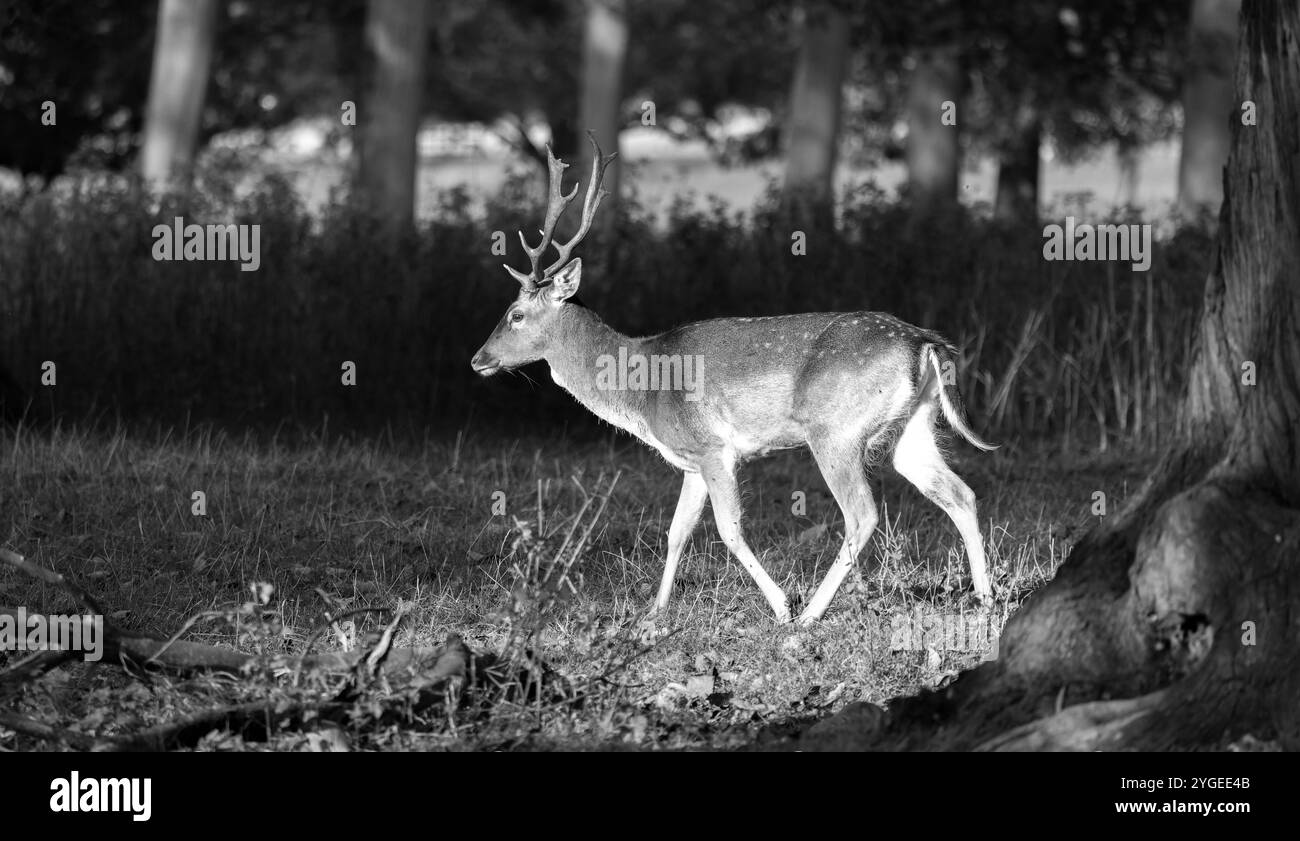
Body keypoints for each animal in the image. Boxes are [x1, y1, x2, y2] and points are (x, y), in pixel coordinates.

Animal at [471, 133, 996, 626]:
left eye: (515, 314)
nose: (478, 360)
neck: (641, 389)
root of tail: (925, 342)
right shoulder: (689, 460)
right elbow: (677, 531)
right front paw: (655, 612)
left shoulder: (713, 448)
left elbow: (729, 529)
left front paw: (781, 605)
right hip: (914, 424)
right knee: (961, 494)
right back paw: (986, 599)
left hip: (835, 430)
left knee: (862, 514)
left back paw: (810, 615)